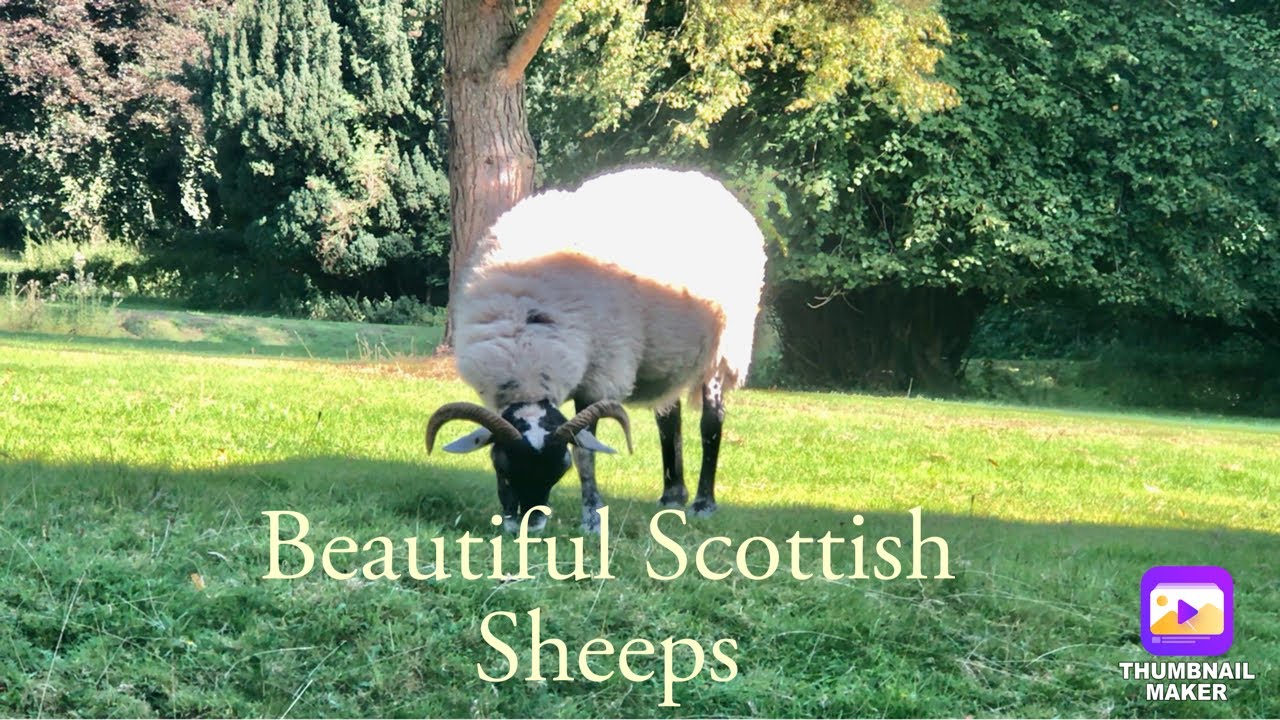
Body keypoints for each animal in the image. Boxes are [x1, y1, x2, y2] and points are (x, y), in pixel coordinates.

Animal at [425, 167, 766, 532]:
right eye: (501, 464)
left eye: (559, 469)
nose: (529, 526)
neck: (527, 338)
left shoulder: (599, 377)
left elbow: (585, 454)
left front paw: (592, 518)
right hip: (665, 358)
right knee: (669, 420)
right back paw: (672, 495)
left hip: (723, 347)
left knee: (711, 422)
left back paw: (703, 502)